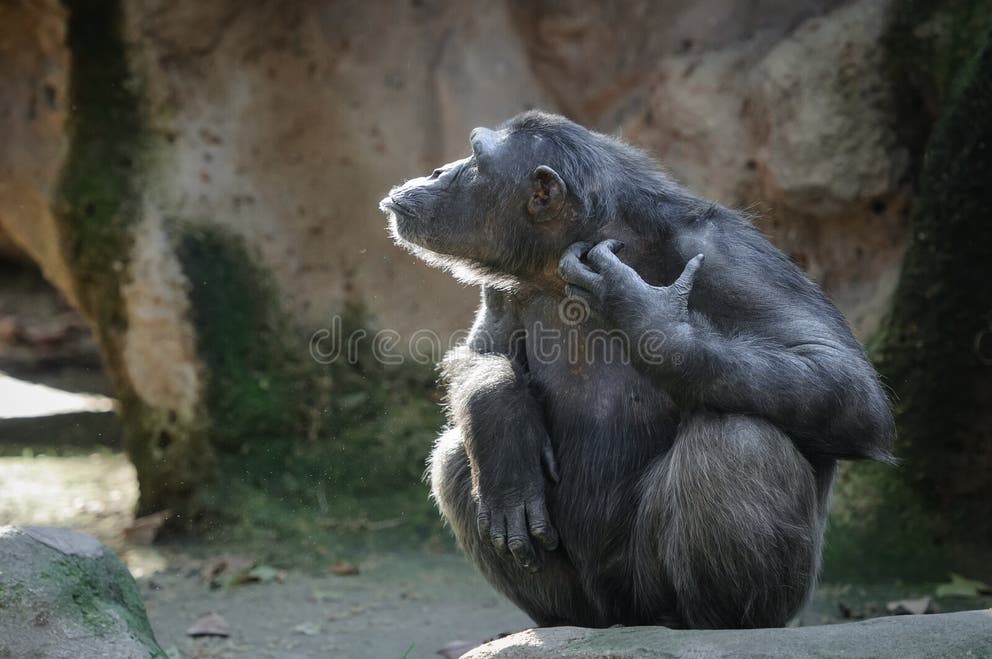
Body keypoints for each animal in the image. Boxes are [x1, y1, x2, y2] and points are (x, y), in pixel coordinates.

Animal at [379, 111, 894, 629]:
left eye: (474, 159)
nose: (439, 171)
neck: (580, 245)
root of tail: (625, 615)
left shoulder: (728, 255)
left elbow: (838, 372)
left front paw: (646, 316)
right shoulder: (503, 286)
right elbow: (481, 354)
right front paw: (501, 418)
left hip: (666, 583)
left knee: (737, 441)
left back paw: (720, 622)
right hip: (593, 597)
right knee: (453, 456)